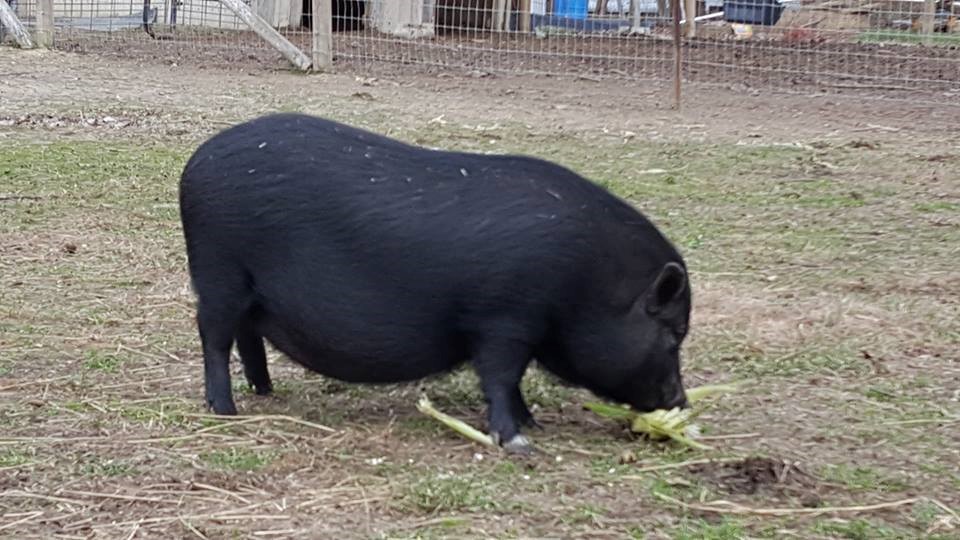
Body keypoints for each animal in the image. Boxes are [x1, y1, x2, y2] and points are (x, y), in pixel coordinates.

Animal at [178, 112, 692, 452]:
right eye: (673, 334)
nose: (681, 402)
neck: (588, 285)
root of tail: (196, 160)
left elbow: (513, 381)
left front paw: (534, 424)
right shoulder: (505, 319)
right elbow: (501, 377)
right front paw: (517, 441)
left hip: (248, 289)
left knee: (248, 335)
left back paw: (265, 391)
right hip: (219, 273)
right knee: (214, 336)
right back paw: (224, 409)